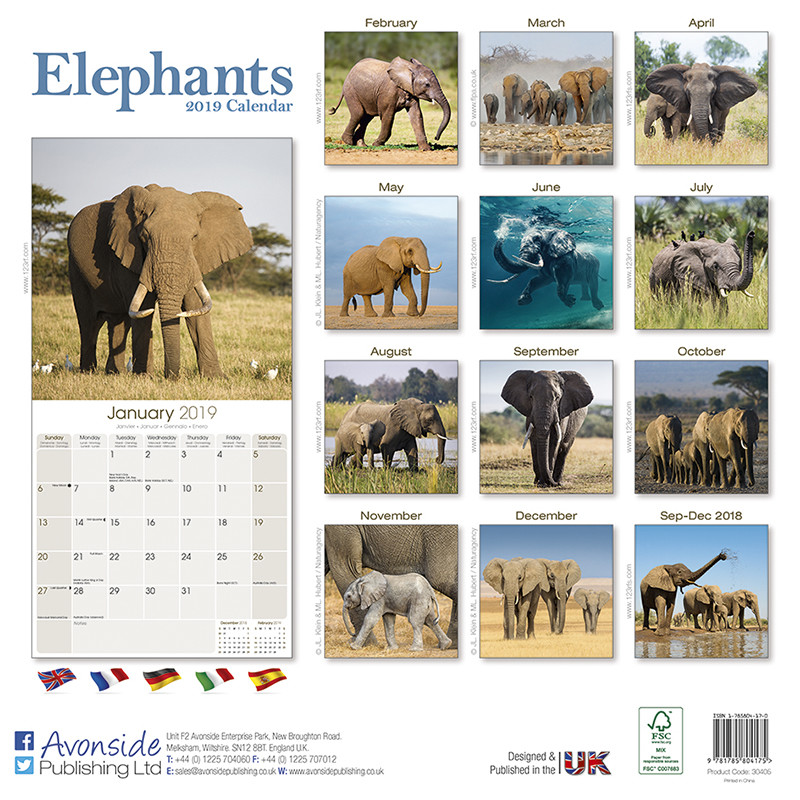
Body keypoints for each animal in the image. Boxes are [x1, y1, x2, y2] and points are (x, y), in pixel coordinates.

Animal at [67, 184, 253, 379]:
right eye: (145, 237)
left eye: (194, 237)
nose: (171, 377)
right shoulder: (129, 254)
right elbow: (144, 307)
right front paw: (144, 377)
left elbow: (195, 305)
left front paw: (214, 377)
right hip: (75, 269)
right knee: (89, 322)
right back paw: (87, 372)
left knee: (118, 321)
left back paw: (115, 373)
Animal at [325, 524, 457, 646]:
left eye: (348, 597)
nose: (351, 636)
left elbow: (344, 567)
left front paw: (366, 645)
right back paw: (450, 645)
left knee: (441, 579)